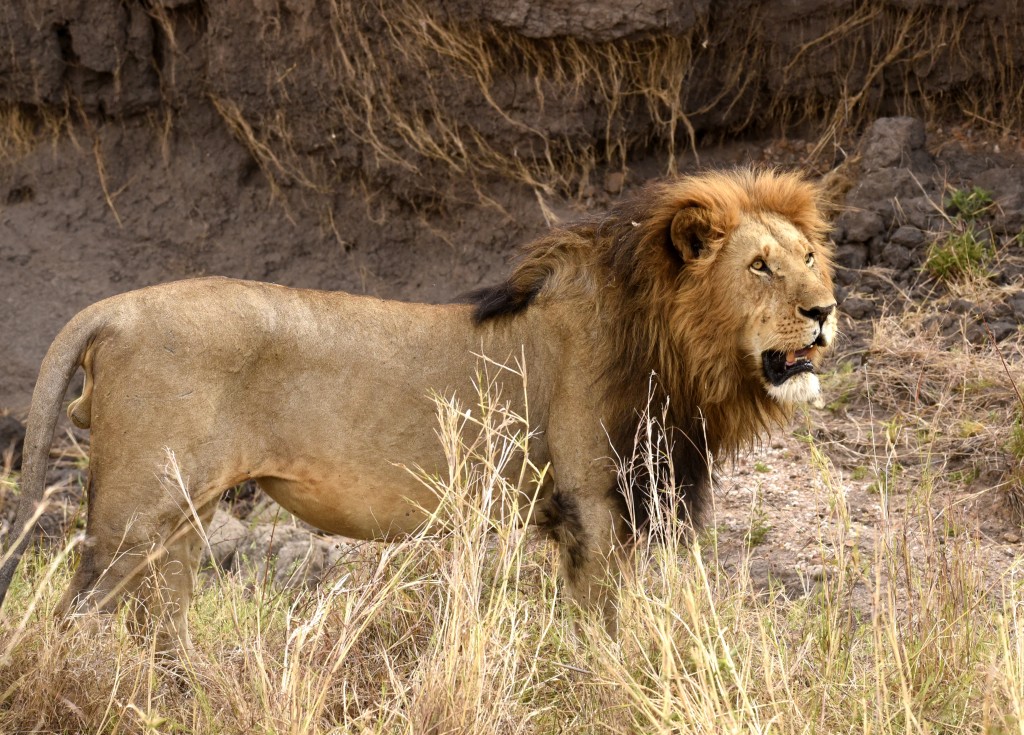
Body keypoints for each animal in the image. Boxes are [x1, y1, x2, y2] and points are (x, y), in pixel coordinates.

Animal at [0, 168, 836, 651]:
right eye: (759, 266)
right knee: (74, 618)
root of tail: (114, 307)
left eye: (809, 258)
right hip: (134, 513)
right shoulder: (595, 503)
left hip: (178, 516)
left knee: (158, 615)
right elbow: (606, 623)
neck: (670, 343)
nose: (825, 310)